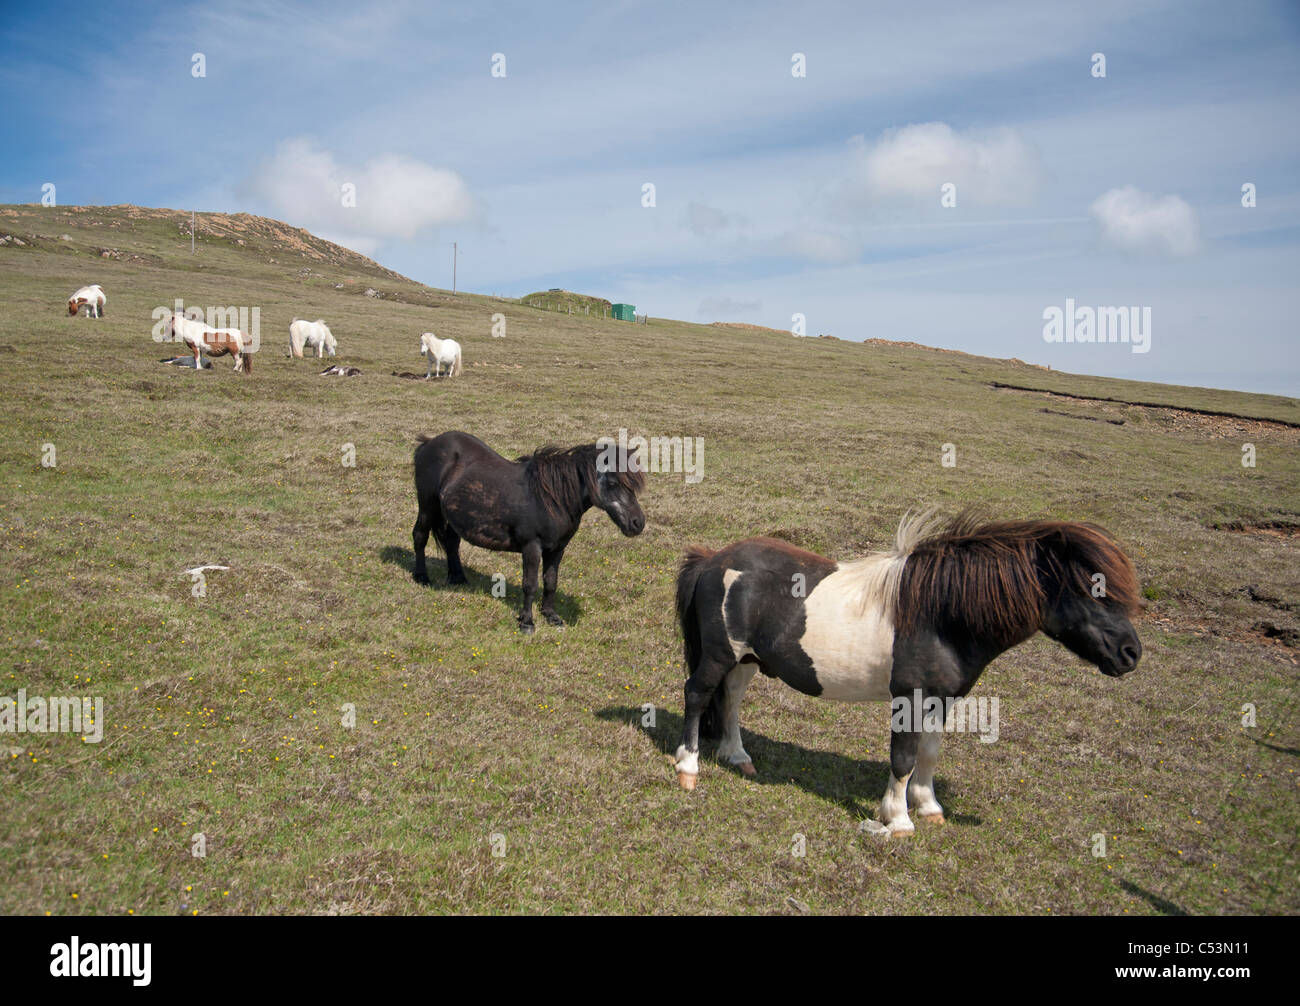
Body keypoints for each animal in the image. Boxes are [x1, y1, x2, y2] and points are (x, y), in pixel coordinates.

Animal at [412, 431, 647, 632]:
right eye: (613, 482)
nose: (638, 523)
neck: (551, 499)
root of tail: (428, 443)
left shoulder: (557, 549)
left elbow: (551, 582)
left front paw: (551, 615)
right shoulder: (531, 546)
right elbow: (530, 585)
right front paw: (527, 621)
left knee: (452, 542)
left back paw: (458, 577)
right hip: (427, 507)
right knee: (420, 537)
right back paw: (422, 577)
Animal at [673, 511, 1142, 836]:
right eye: (1092, 589)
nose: (1131, 653)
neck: (941, 615)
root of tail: (713, 559)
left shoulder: (942, 700)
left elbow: (928, 754)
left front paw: (928, 807)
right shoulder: (909, 700)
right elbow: (902, 758)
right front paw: (896, 819)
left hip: (746, 661)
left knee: (730, 702)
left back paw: (737, 756)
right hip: (719, 656)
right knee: (698, 695)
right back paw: (688, 767)